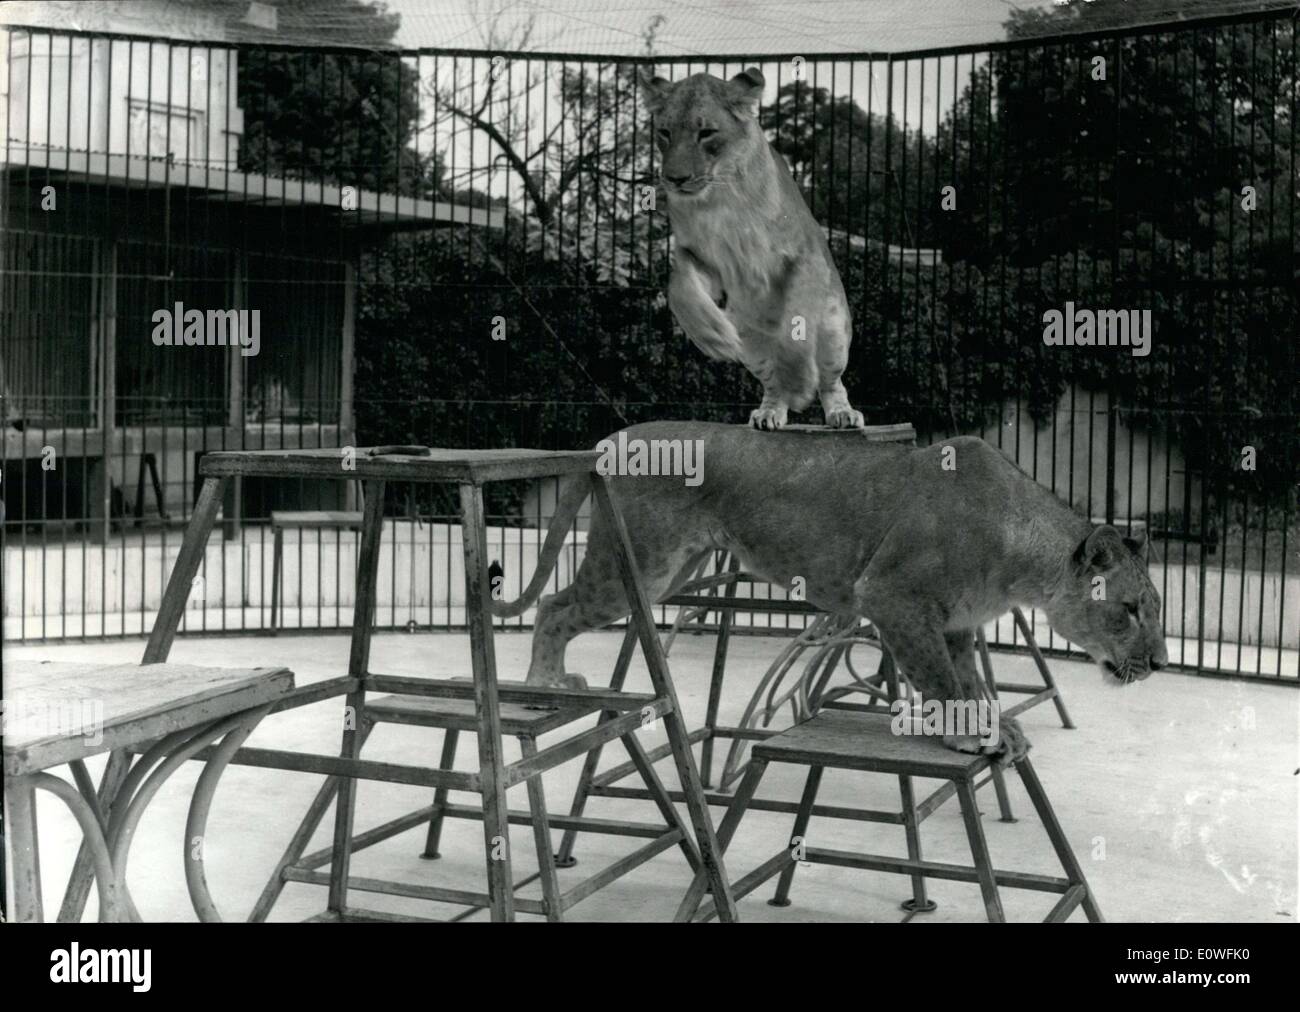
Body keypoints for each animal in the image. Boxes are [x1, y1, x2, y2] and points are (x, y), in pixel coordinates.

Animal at [496, 423, 1168, 762]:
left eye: (1155, 609)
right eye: (1130, 610)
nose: (1161, 663)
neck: (1021, 556)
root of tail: (616, 434)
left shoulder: (953, 621)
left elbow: (969, 677)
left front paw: (994, 725)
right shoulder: (892, 596)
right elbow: (940, 679)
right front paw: (963, 731)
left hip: (674, 569)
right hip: (638, 566)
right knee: (553, 607)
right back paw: (544, 684)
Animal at [640, 67, 864, 432]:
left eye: (706, 133)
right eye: (664, 132)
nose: (674, 179)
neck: (720, 201)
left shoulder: (805, 255)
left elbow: (797, 323)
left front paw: (800, 380)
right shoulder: (704, 261)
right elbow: (680, 285)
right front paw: (710, 334)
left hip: (834, 332)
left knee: (831, 380)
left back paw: (841, 412)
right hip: (751, 345)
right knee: (773, 383)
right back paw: (769, 411)